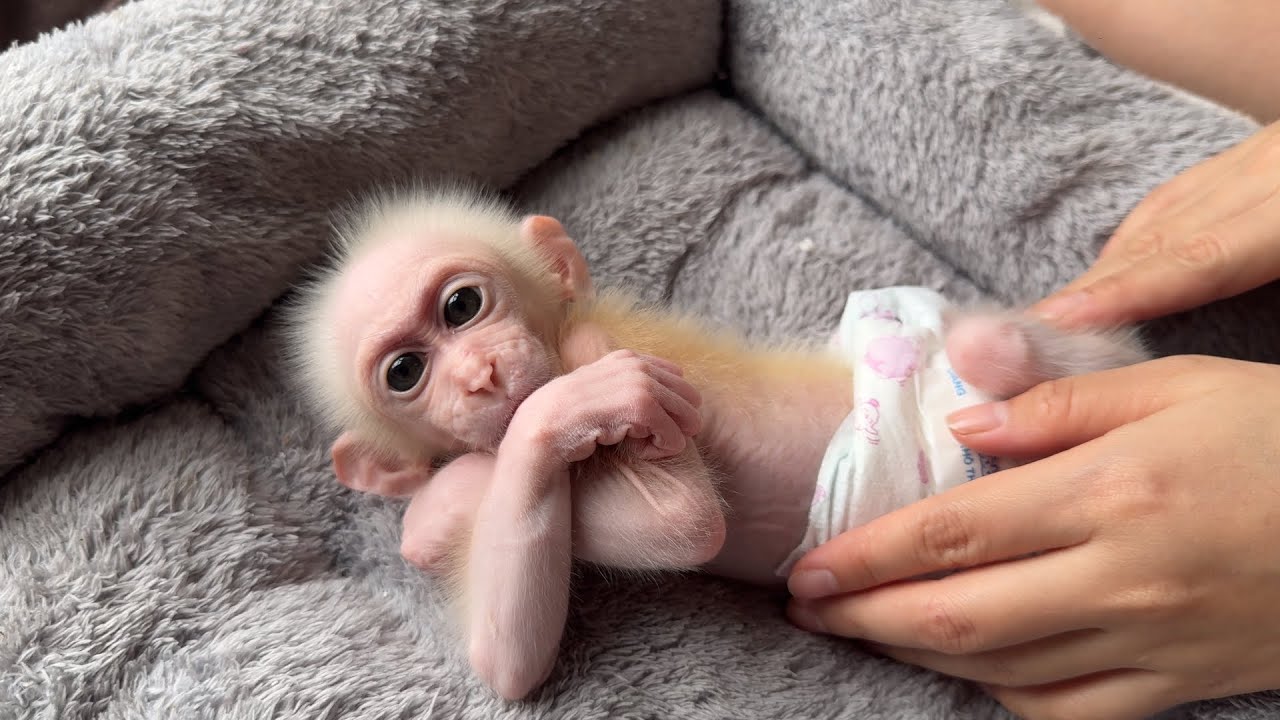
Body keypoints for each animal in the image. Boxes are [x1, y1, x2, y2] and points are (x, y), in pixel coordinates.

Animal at [283, 187, 1149, 700]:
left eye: (462, 305)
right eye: (405, 372)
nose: (479, 376)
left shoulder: (598, 342)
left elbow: (685, 521)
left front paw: (477, 473)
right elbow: (508, 663)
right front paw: (461, 486)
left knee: (992, 349)